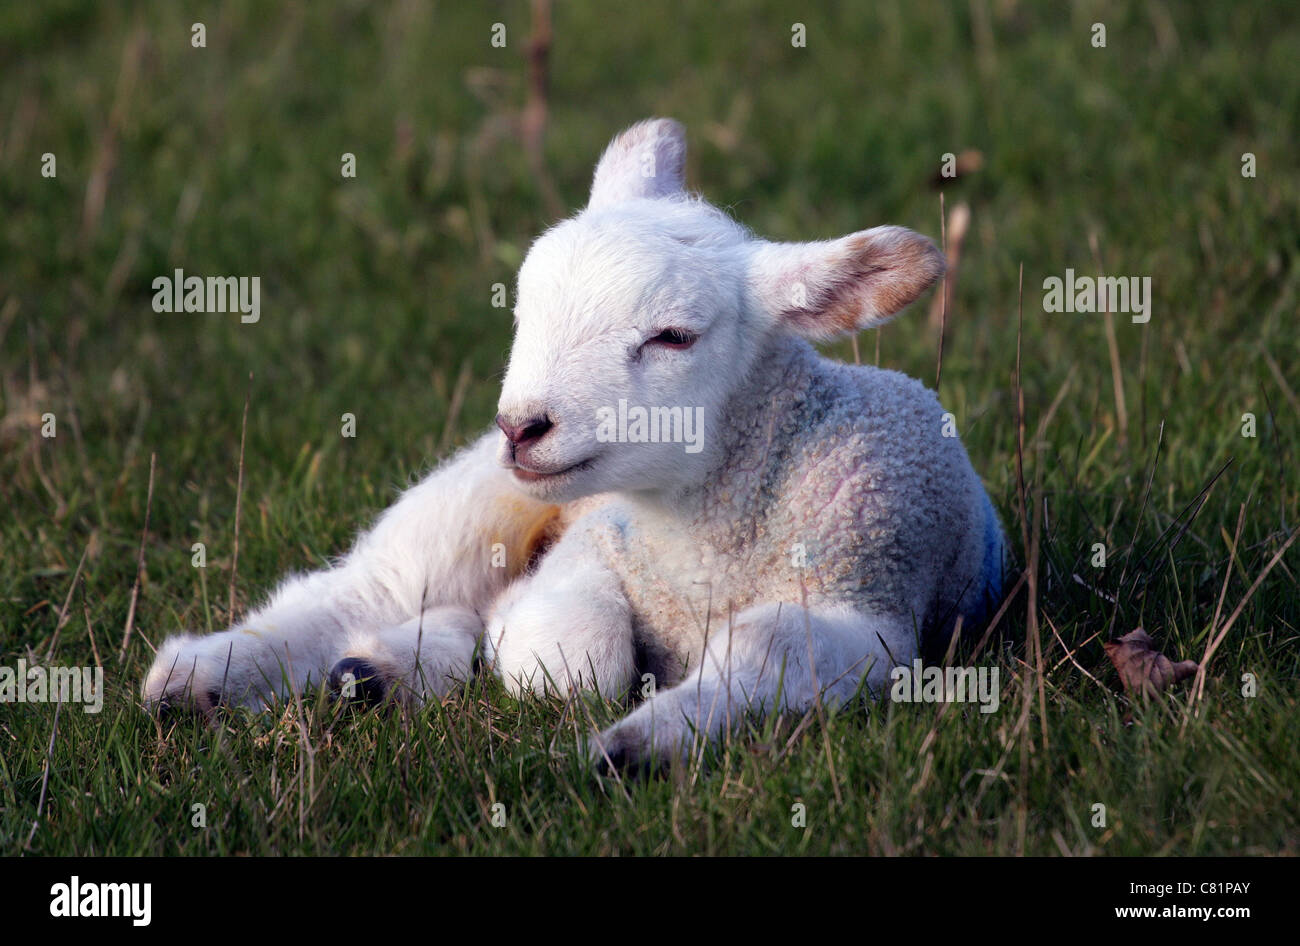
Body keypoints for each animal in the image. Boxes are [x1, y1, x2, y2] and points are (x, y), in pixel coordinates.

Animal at [142, 118, 1006, 773]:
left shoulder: (867, 606)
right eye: (522, 313)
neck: (699, 547)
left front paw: (637, 746)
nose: (522, 426)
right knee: (369, 587)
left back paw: (376, 672)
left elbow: (762, 651)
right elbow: (576, 660)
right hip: (476, 501)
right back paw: (199, 679)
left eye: (674, 336)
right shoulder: (591, 548)